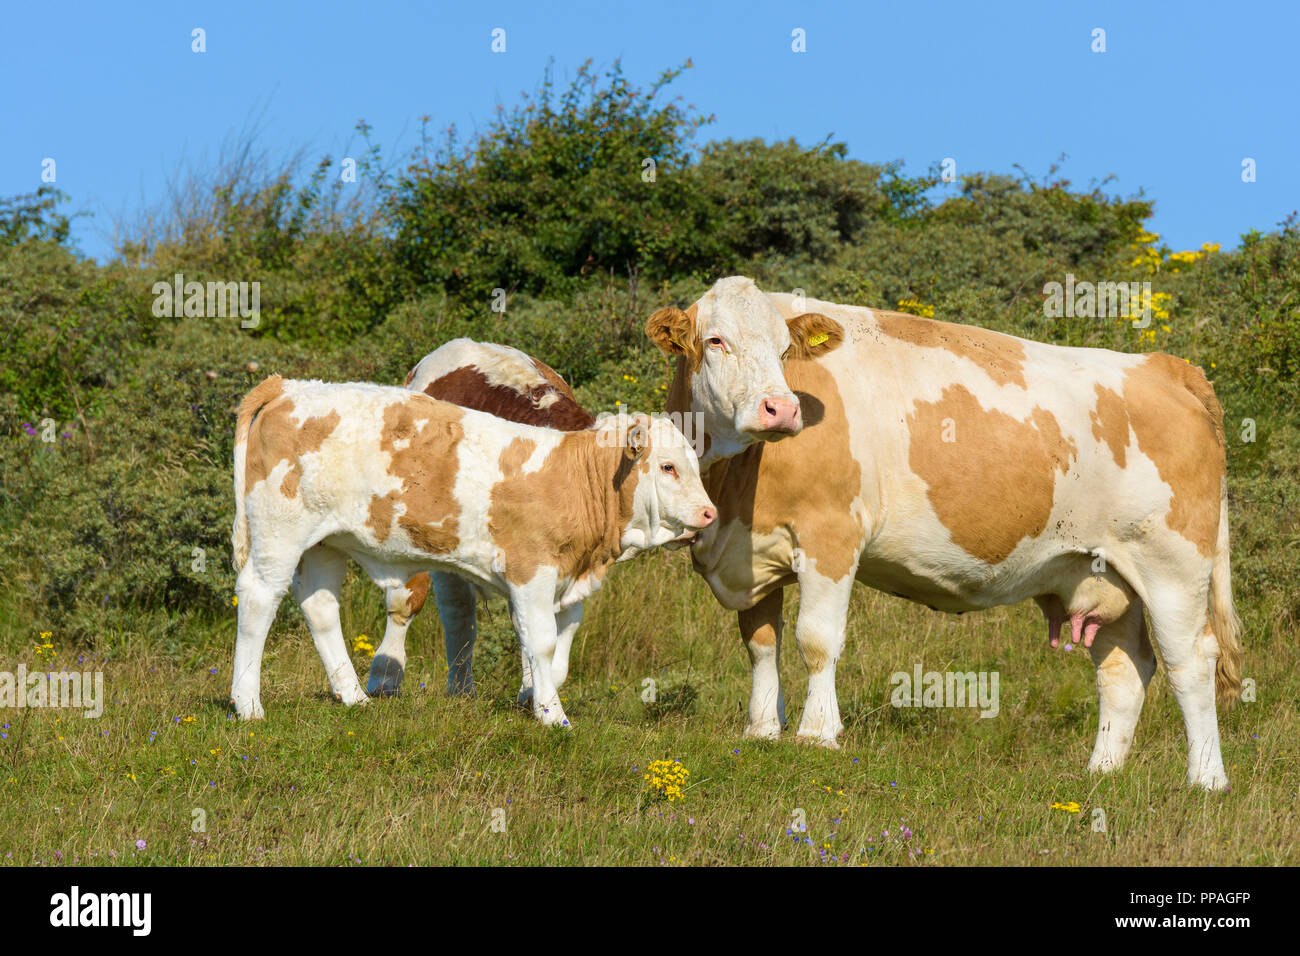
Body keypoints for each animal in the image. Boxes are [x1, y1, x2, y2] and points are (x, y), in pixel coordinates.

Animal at [229, 376, 716, 728]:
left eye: (693, 464)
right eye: (668, 467)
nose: (710, 513)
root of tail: (289, 386)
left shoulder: (565, 580)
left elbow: (557, 651)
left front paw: (536, 700)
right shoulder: (531, 571)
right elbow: (541, 643)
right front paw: (553, 718)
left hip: (323, 542)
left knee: (321, 608)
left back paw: (354, 697)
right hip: (279, 533)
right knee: (258, 600)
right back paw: (248, 705)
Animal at [645, 276, 1242, 791]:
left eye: (785, 349)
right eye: (716, 340)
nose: (781, 408)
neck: (732, 479)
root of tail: (1164, 366)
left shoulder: (831, 534)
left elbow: (816, 639)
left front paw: (817, 734)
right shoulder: (749, 551)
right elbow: (760, 644)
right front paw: (763, 730)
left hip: (1173, 565)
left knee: (1192, 661)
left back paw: (1206, 779)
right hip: (1101, 571)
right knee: (1125, 667)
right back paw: (1102, 771)